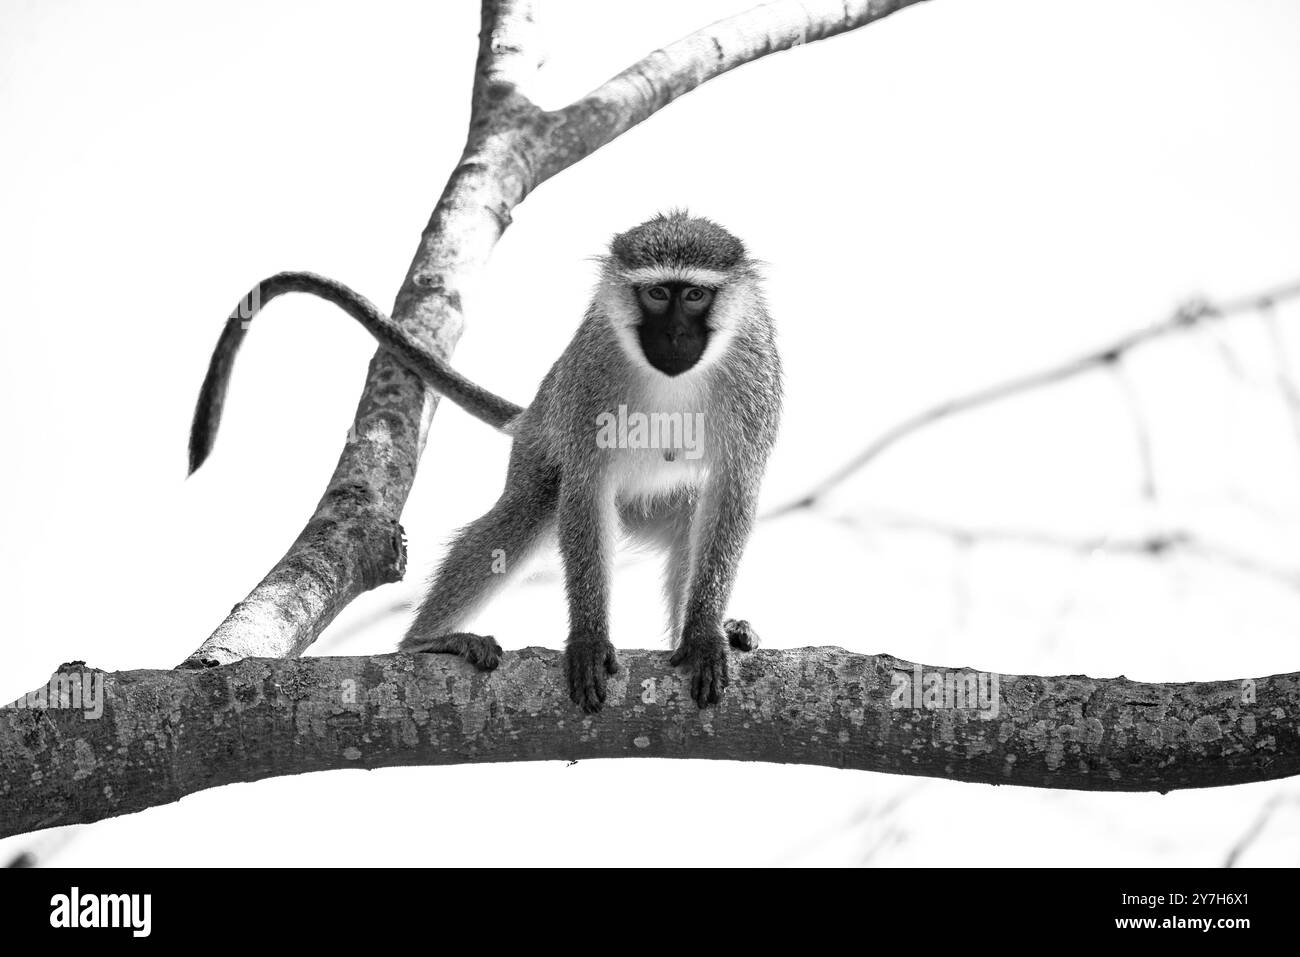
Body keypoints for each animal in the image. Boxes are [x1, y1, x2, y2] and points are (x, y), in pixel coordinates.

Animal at [190, 211, 782, 711]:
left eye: (695, 295)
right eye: (658, 294)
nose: (676, 335)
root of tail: (534, 415)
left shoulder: (756, 375)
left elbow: (732, 491)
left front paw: (702, 636)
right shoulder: (592, 373)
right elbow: (583, 489)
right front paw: (590, 639)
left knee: (690, 516)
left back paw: (714, 629)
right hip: (546, 447)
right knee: (535, 505)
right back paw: (427, 642)